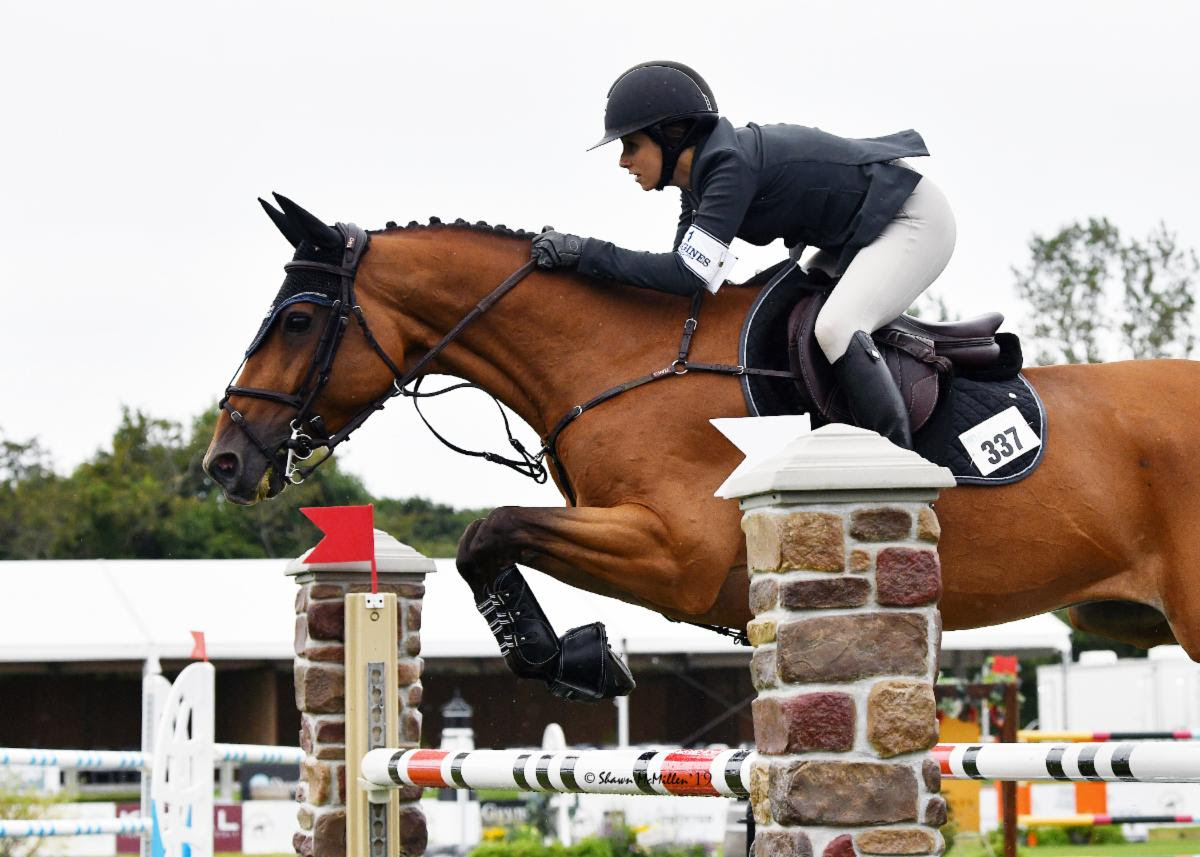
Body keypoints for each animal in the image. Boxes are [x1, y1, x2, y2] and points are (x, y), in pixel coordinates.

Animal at [203, 197, 1200, 661]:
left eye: (297, 320)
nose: (224, 461)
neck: (620, 361)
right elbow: (490, 539)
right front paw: (572, 655)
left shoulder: (672, 553)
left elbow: (489, 532)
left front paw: (571, 659)